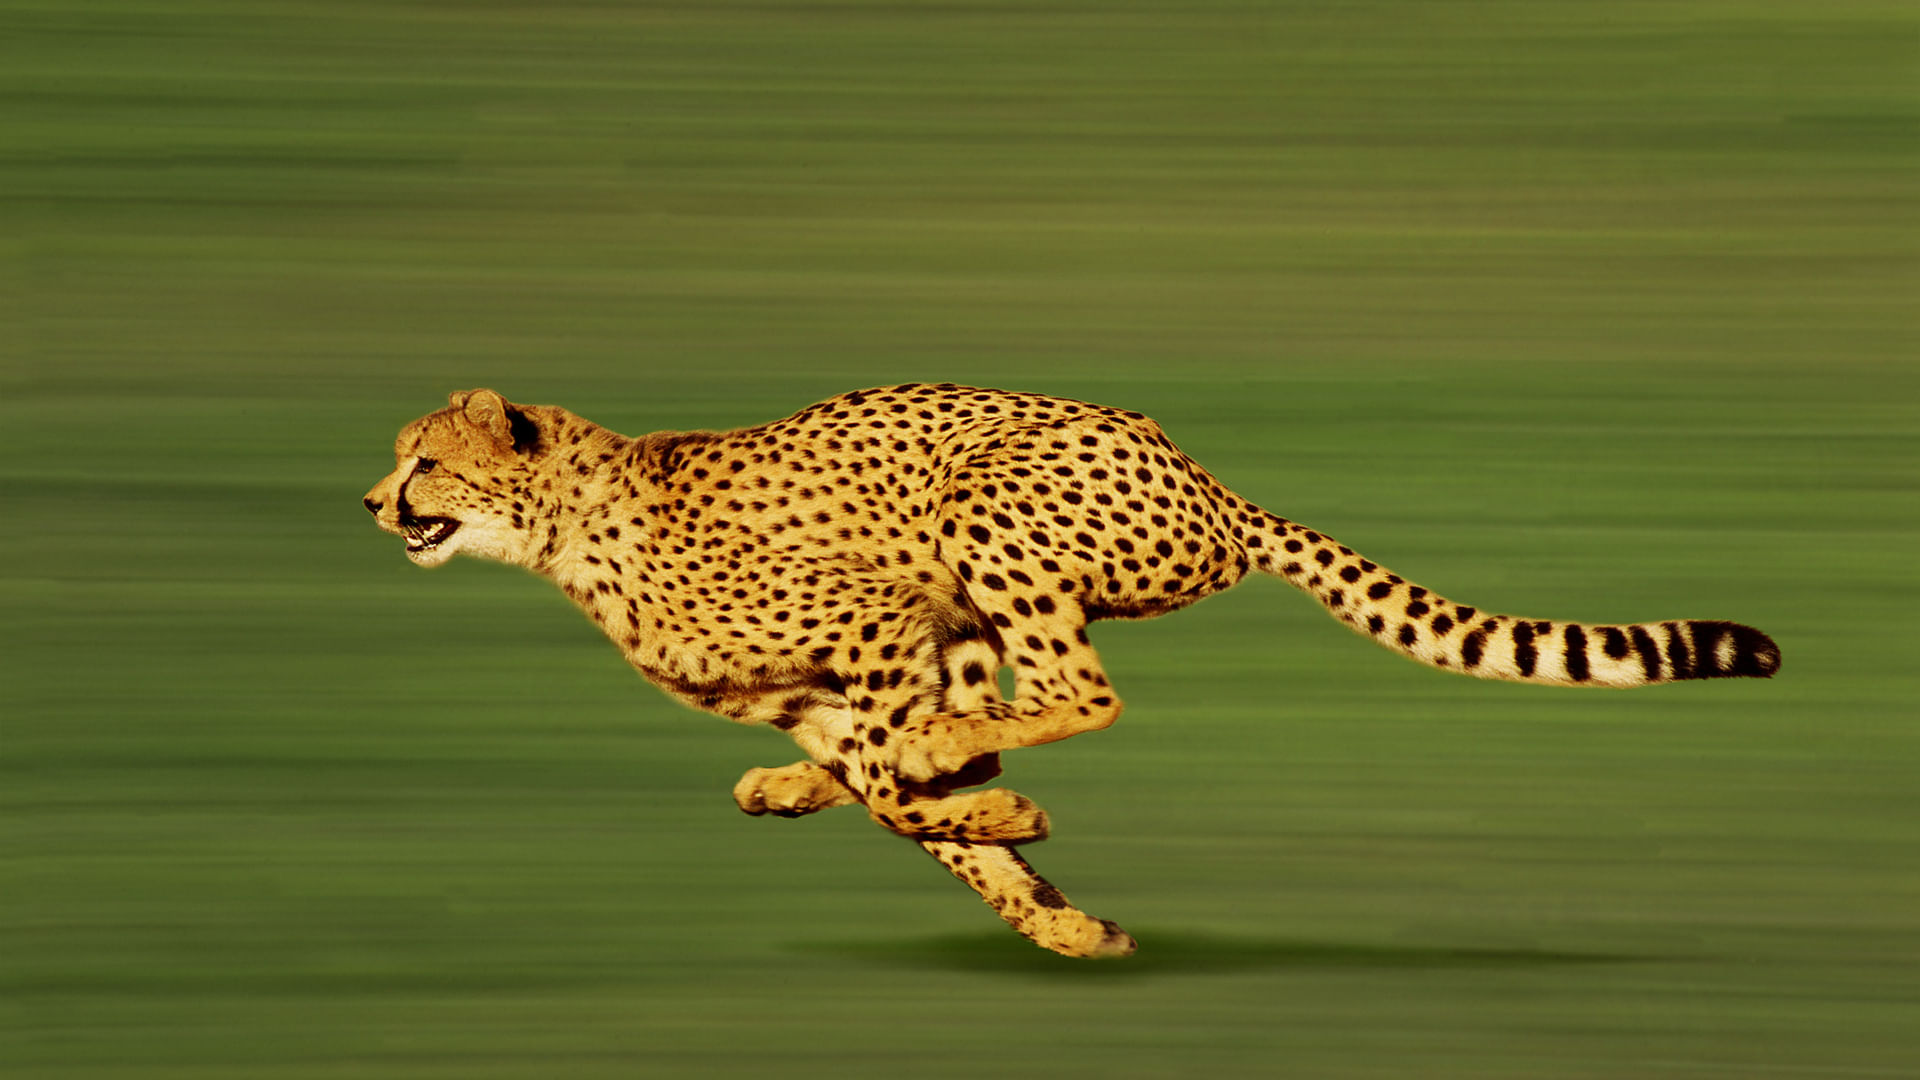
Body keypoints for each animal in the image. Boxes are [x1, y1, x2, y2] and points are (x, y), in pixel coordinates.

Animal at [363, 384, 1781, 958]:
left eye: (425, 460)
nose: (372, 502)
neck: (567, 524)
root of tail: (1212, 481)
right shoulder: (843, 681)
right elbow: (916, 812)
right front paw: (1059, 919)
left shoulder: (879, 623)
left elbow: (913, 790)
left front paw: (1009, 832)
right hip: (974, 598)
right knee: (994, 714)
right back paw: (804, 789)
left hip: (982, 501)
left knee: (1077, 694)